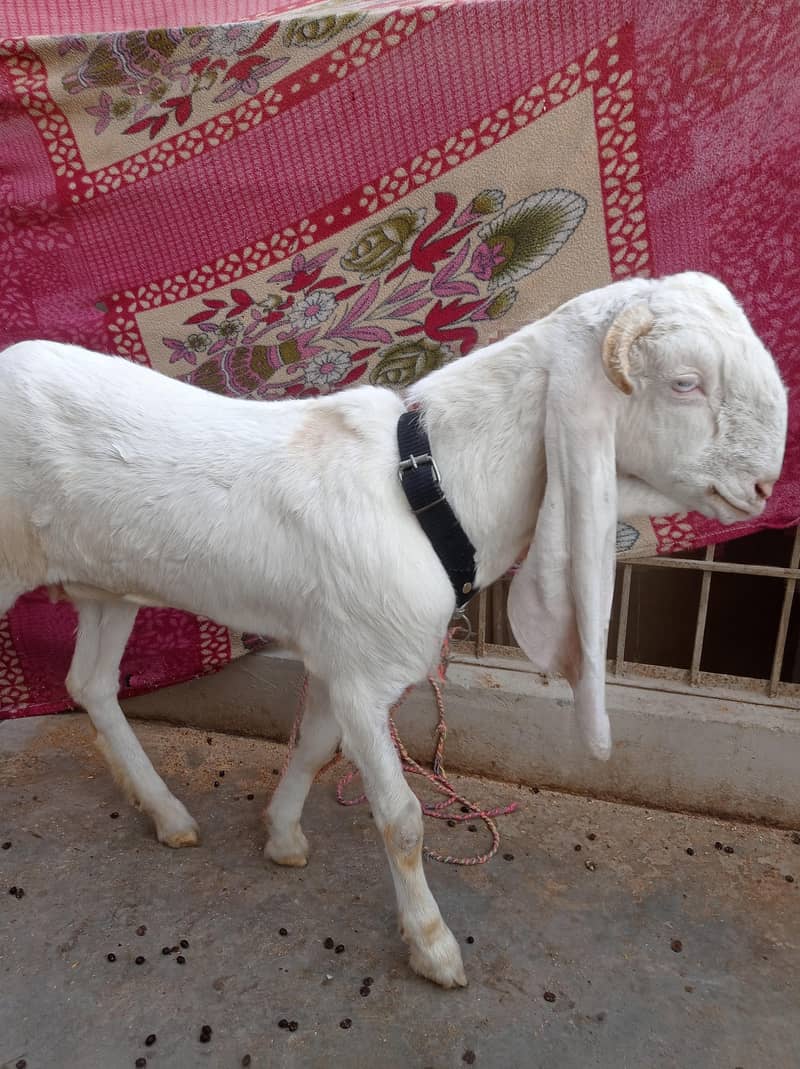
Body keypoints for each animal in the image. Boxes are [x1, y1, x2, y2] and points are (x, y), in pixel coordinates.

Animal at [0, 271, 787, 988]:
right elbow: (404, 819)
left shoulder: (339, 655)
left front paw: (282, 835)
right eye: (685, 383)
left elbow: (314, 749)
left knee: (91, 684)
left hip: (106, 584)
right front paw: (433, 947)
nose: (762, 488)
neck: (430, 487)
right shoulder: (361, 678)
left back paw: (165, 813)